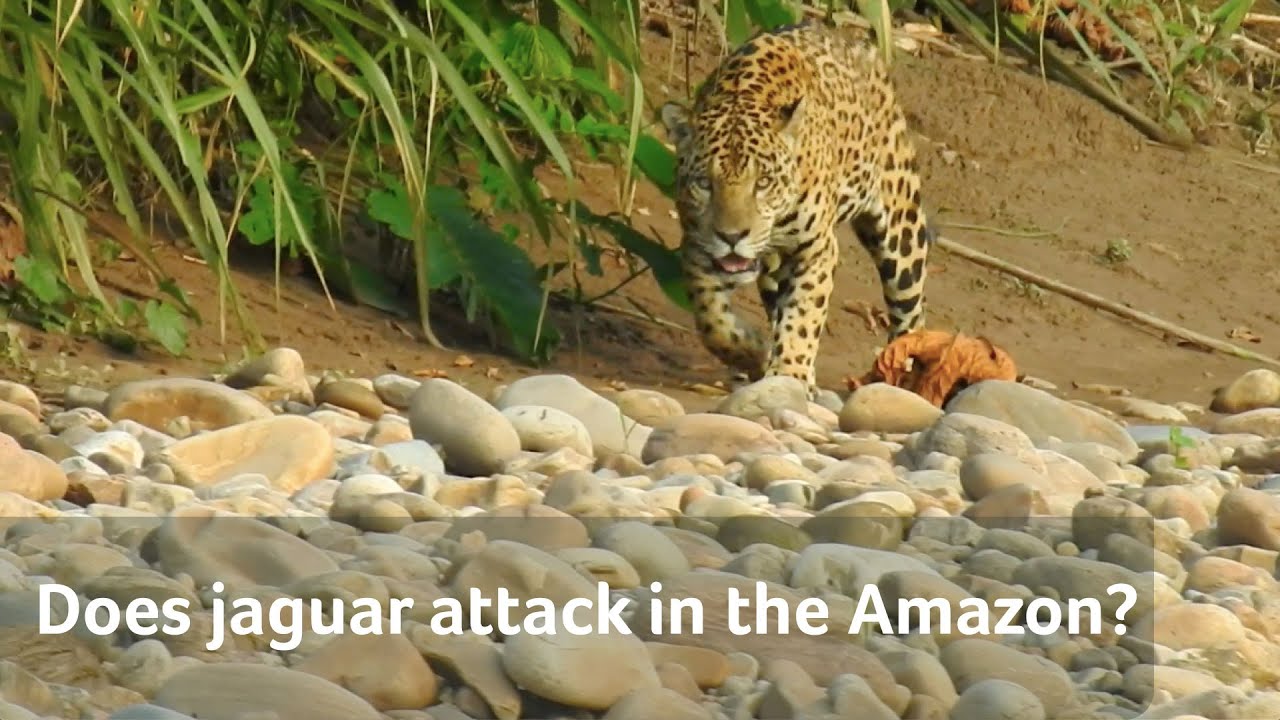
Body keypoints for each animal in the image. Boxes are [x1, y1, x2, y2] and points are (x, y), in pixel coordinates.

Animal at [659, 20, 935, 399]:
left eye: (763, 182)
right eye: (704, 183)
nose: (732, 237)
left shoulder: (817, 250)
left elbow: (804, 316)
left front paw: (790, 372)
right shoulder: (697, 248)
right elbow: (712, 320)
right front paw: (755, 351)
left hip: (902, 228)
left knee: (910, 310)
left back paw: (905, 368)